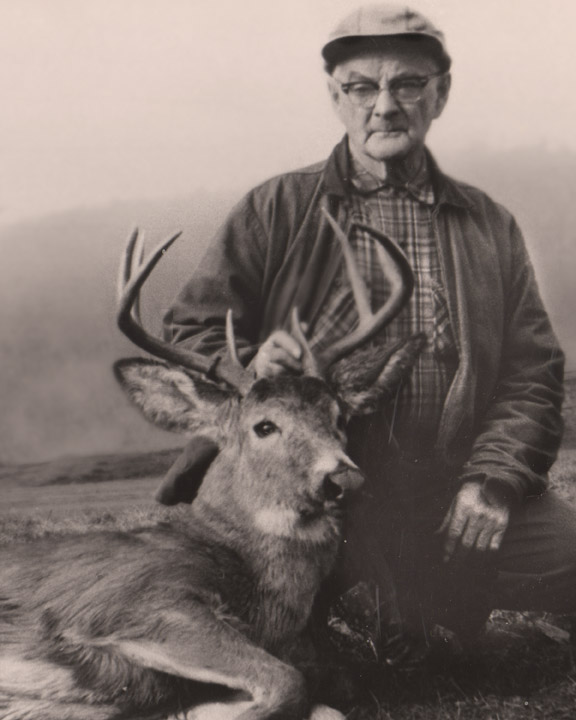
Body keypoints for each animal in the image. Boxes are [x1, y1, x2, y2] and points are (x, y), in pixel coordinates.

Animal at [0, 208, 424, 720]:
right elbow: (288, 682)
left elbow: (327, 695)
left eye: (339, 418)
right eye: (264, 426)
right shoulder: (138, 602)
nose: (345, 476)